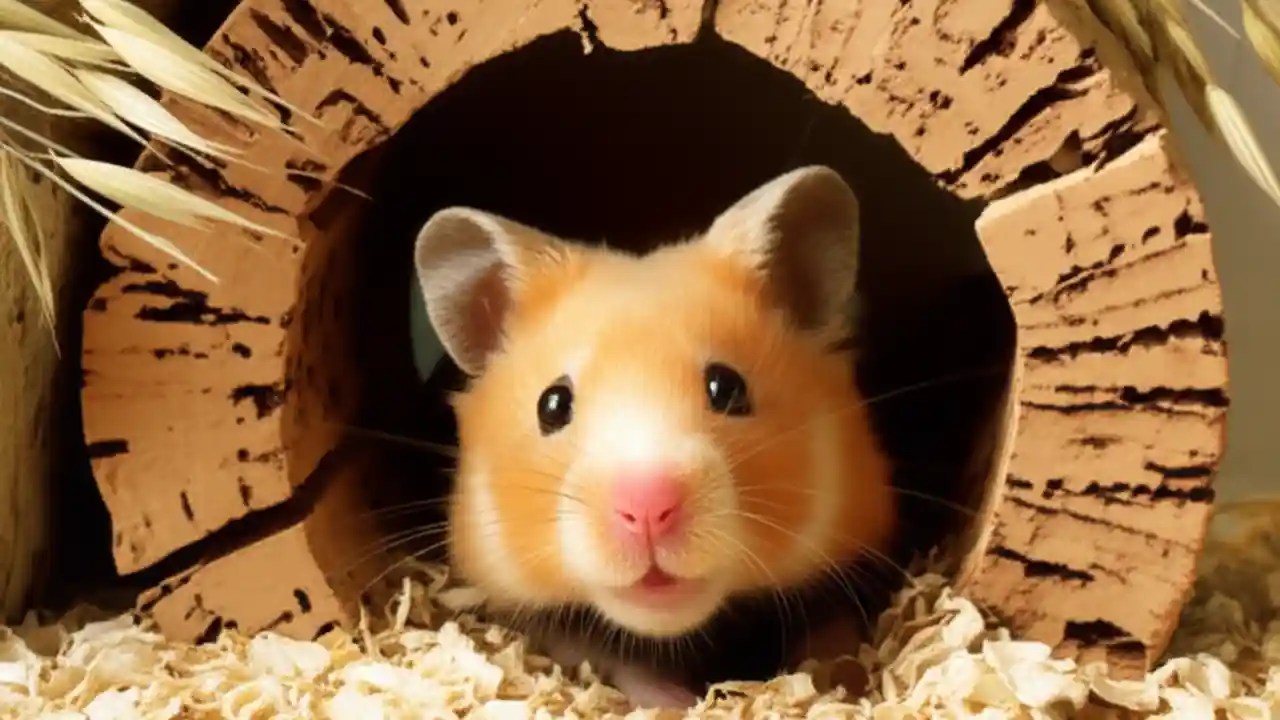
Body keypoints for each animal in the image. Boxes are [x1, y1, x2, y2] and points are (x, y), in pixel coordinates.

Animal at [412, 166, 899, 708]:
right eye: (552, 405)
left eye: (727, 387)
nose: (648, 509)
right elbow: (621, 663)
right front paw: (677, 703)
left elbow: (832, 637)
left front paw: (836, 683)